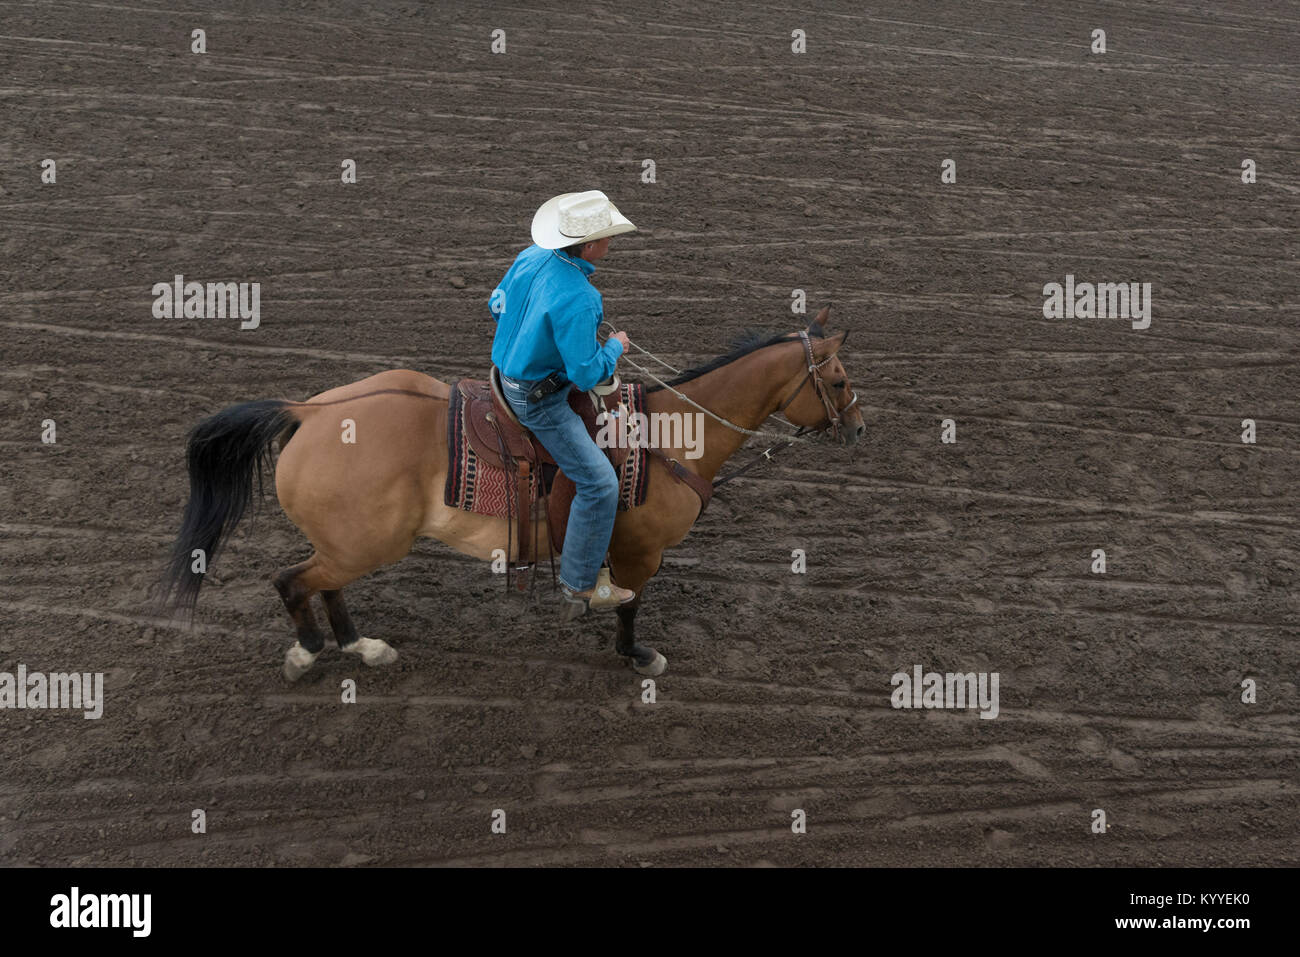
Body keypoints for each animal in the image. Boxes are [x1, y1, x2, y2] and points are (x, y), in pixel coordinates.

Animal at [157, 306, 865, 680]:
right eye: (837, 379)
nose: (860, 429)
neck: (668, 436)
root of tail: (308, 411)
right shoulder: (640, 552)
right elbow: (631, 604)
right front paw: (636, 653)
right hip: (362, 544)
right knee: (293, 581)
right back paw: (307, 654)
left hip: (351, 544)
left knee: (325, 585)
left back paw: (363, 646)